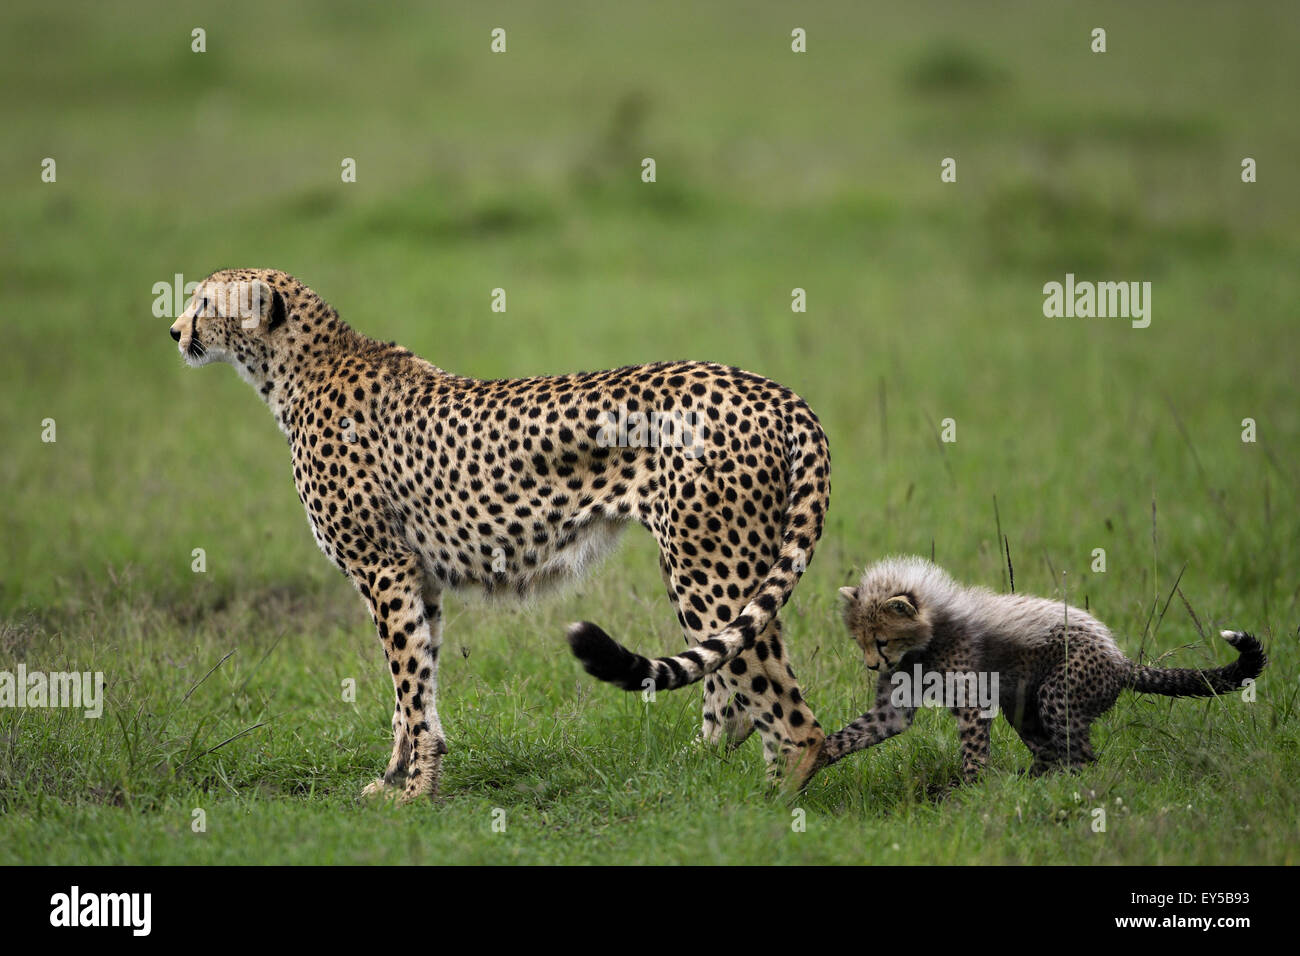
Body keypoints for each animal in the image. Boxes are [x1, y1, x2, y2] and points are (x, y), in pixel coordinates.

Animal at [168, 268, 831, 802]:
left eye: (204, 302)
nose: (174, 331)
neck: (297, 367)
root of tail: (774, 391)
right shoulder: (419, 577)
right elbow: (416, 690)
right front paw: (400, 779)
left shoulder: (383, 569)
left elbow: (408, 687)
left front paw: (412, 796)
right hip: (725, 561)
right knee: (738, 683)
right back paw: (696, 771)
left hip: (706, 565)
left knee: (789, 713)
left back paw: (769, 804)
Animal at [819, 555, 1267, 781]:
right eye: (861, 641)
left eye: (882, 640)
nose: (870, 664)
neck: (928, 638)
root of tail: (1120, 660)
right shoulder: (892, 710)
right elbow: (851, 735)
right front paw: (806, 760)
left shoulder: (973, 704)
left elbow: (973, 753)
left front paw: (968, 796)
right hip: (1024, 706)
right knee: (1053, 752)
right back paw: (1029, 785)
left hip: (1059, 693)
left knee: (1081, 757)